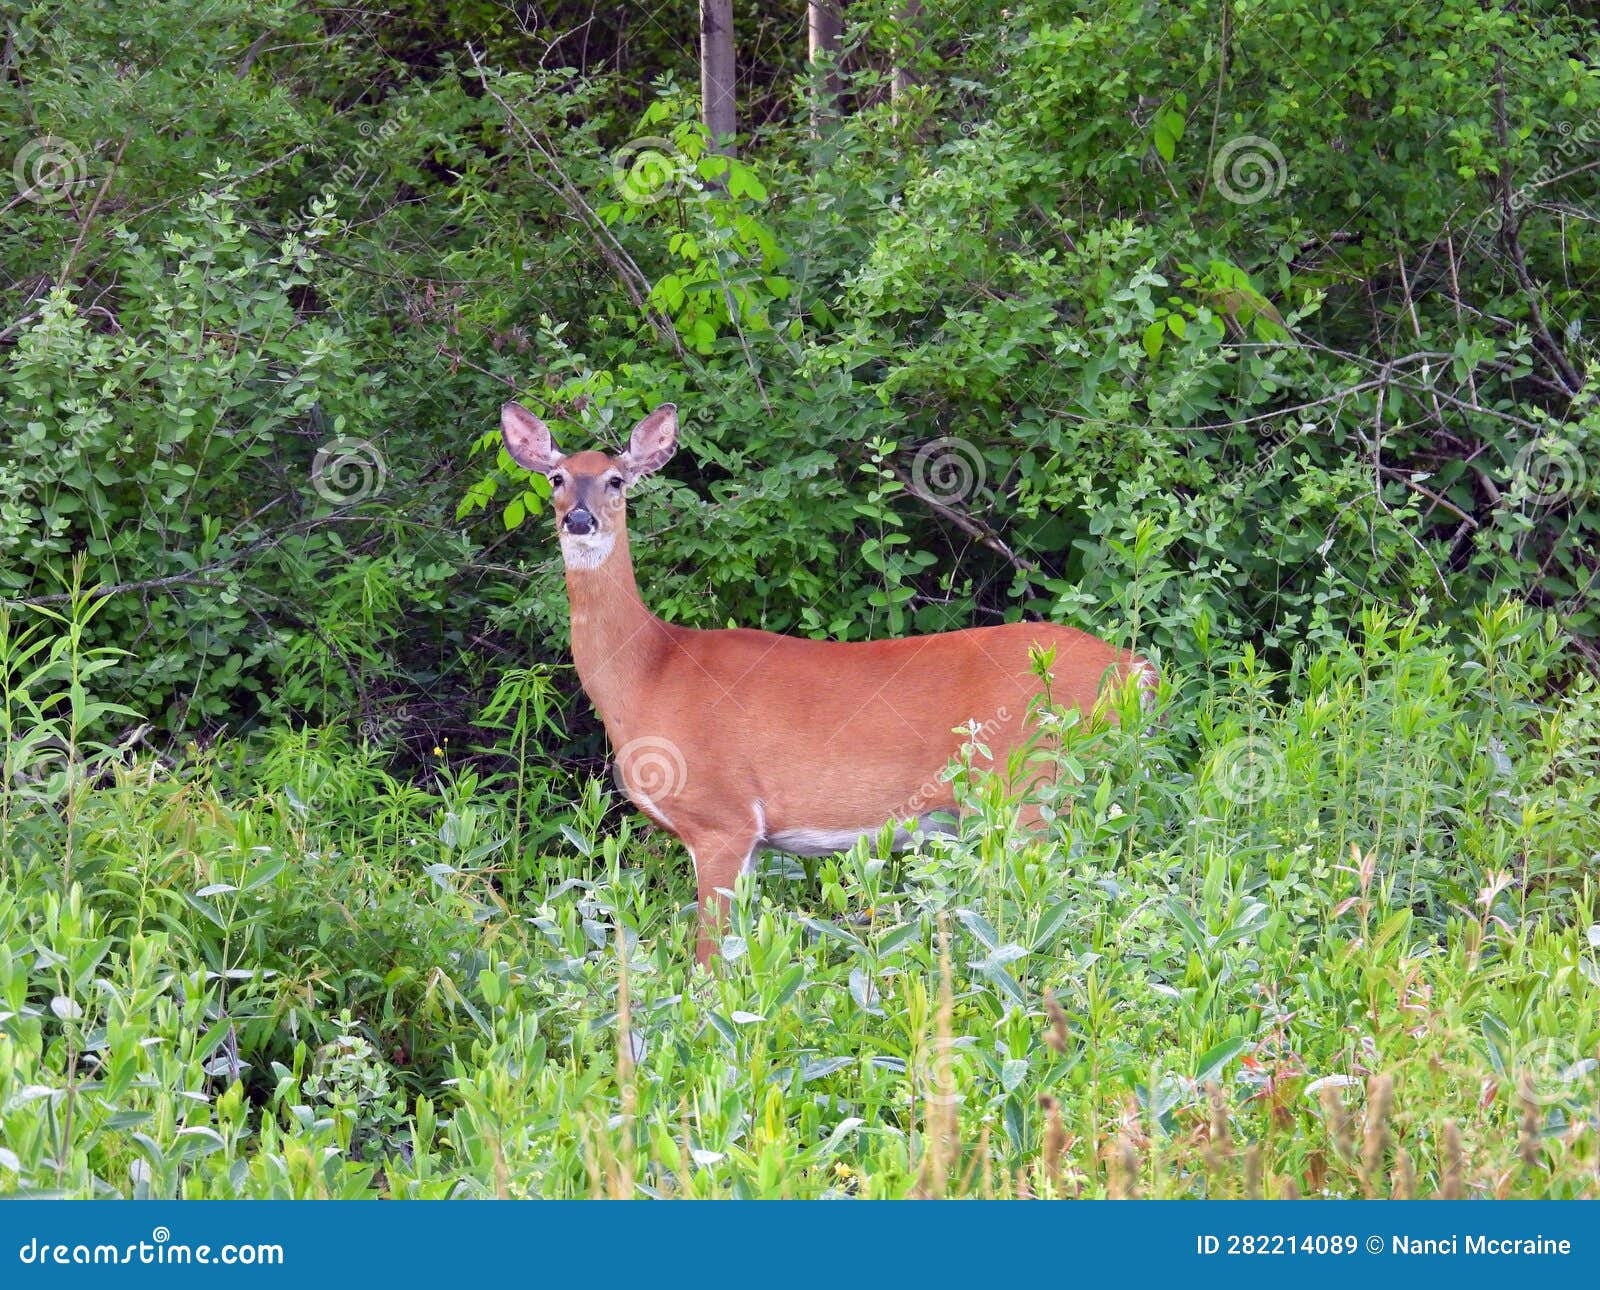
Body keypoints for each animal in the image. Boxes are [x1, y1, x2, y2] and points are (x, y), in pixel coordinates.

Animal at [500, 401, 1157, 965]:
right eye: (556, 477)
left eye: (616, 480)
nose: (578, 518)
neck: (649, 673)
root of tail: (1135, 670)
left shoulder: (723, 817)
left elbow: (709, 964)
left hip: (1033, 787)